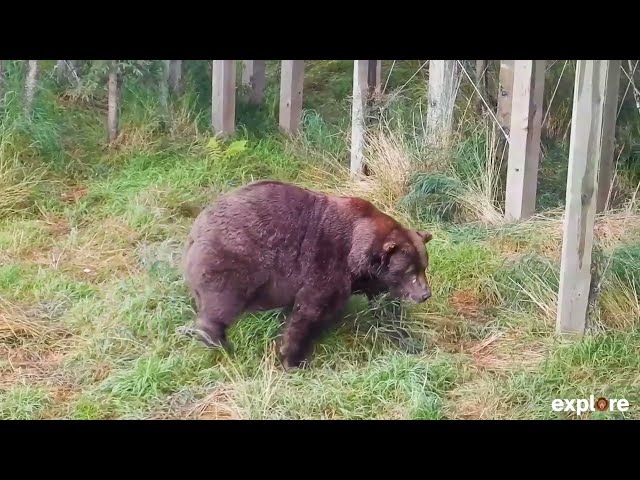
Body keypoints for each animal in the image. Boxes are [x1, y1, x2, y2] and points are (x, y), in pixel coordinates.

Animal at [180, 179, 433, 369]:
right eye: (409, 271)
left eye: (423, 267)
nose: (425, 295)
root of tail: (196, 228)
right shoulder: (326, 262)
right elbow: (310, 310)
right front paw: (293, 358)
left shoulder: (372, 281)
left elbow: (386, 311)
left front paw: (409, 340)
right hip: (235, 258)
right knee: (224, 301)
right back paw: (218, 341)